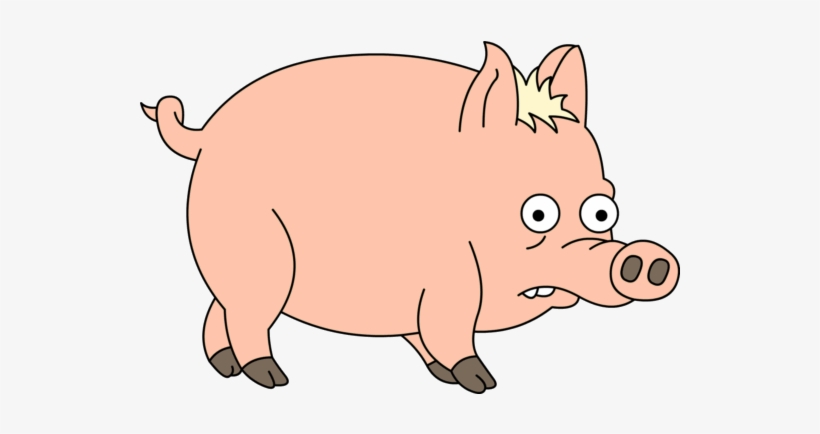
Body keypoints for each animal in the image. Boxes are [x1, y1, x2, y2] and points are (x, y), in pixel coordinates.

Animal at [141, 42, 680, 394]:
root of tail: (205, 132)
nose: (648, 260)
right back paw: (271, 379)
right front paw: (482, 383)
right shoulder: (450, 283)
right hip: (261, 252)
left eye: (602, 209)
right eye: (538, 213)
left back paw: (227, 369)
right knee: (247, 310)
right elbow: (451, 330)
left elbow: (426, 335)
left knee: (221, 305)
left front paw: (445, 376)